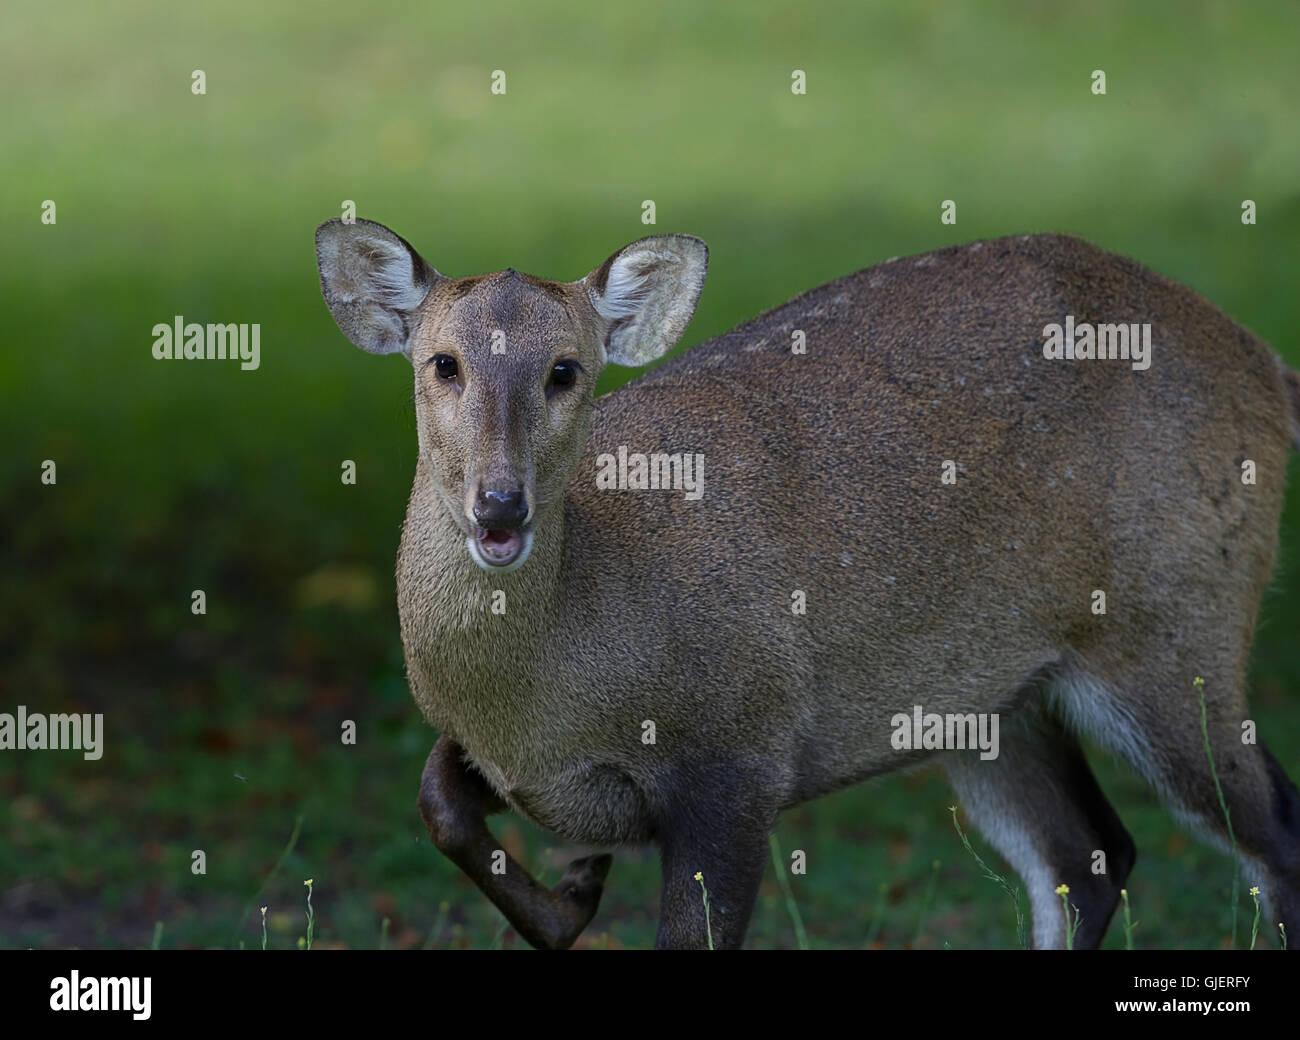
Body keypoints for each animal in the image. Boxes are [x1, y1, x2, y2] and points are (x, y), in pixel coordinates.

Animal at [315, 219, 1300, 949]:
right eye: (442, 362)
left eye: (566, 369)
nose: (501, 503)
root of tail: (1267, 364)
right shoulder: (513, 760)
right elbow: (437, 800)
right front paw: (577, 888)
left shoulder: (740, 753)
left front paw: (581, 884)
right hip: (993, 694)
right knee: (1087, 857)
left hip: (1177, 624)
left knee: (1272, 832)